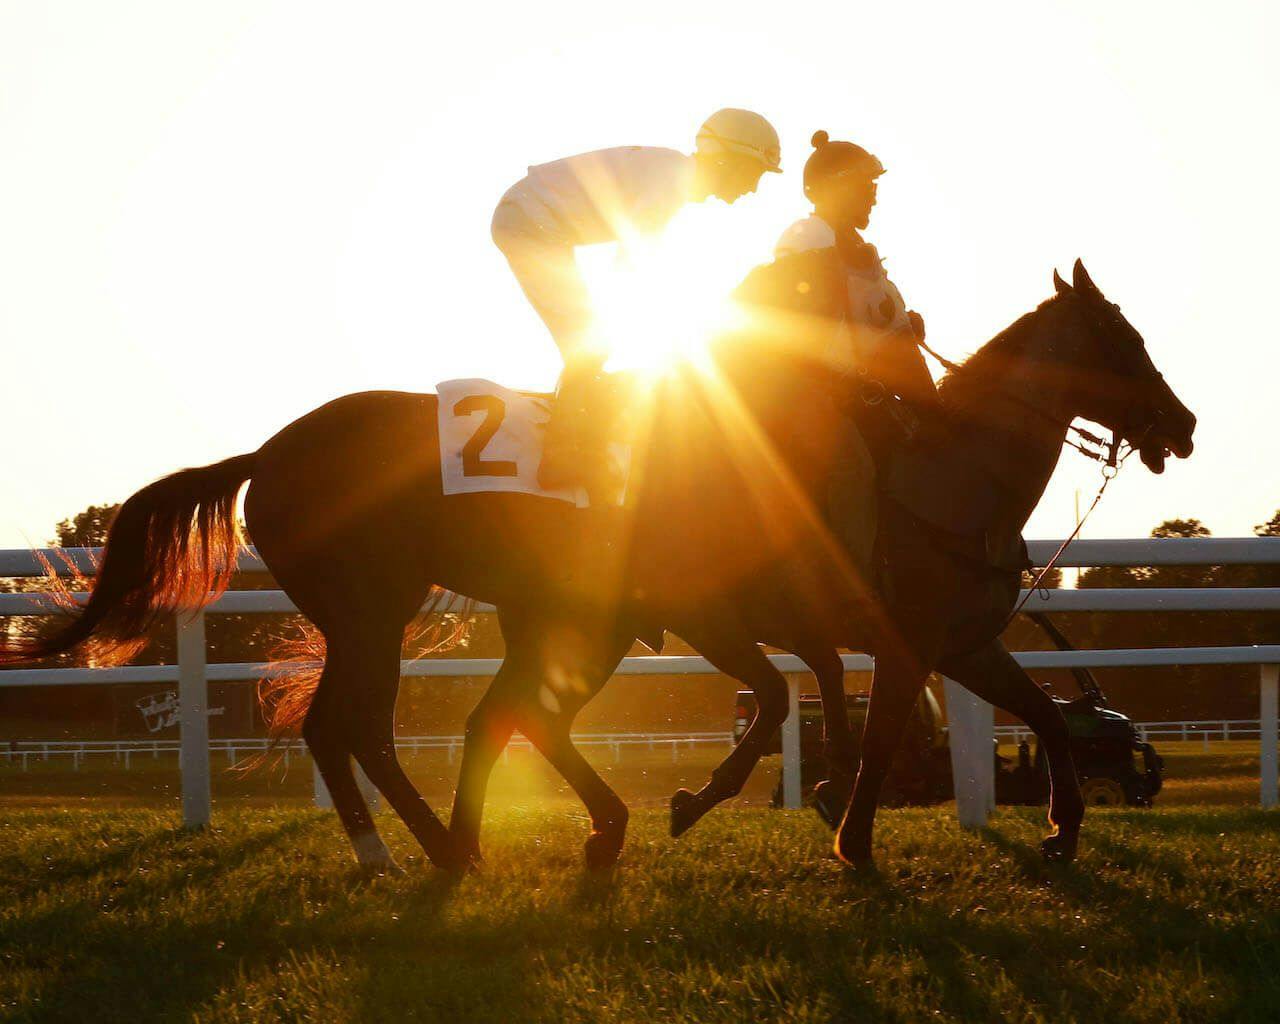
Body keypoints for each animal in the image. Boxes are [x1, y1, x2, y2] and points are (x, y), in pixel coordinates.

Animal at [1, 260, 1195, 875]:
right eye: (1126, 342)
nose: (1180, 424)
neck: (941, 476)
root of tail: (273, 450)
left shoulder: (957, 641)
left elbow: (1037, 715)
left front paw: (1061, 823)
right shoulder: (883, 639)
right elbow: (852, 732)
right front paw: (846, 836)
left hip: (485, 615)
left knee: (466, 721)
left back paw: (468, 839)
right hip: (377, 609)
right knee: (363, 725)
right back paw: (418, 848)